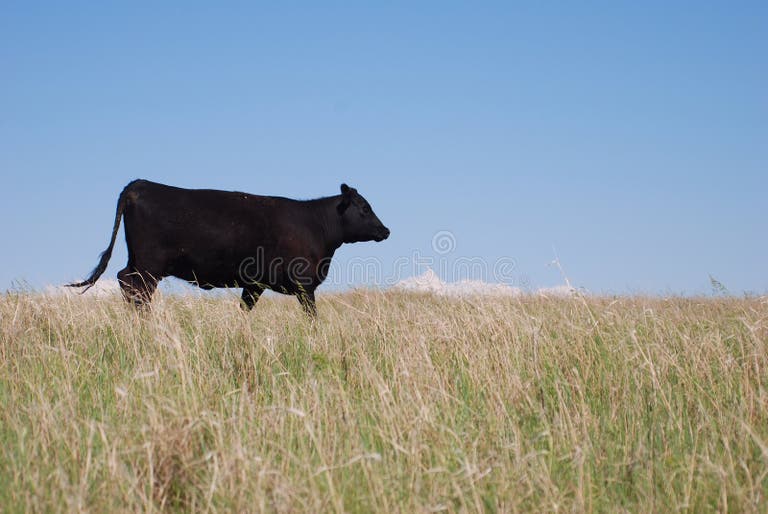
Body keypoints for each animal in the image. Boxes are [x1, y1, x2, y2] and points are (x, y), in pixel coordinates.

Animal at [67, 180, 390, 316]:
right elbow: (312, 317)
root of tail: (138, 185)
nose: (385, 230)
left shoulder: (255, 284)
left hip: (138, 260)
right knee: (136, 290)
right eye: (364, 207)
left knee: (124, 280)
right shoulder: (304, 284)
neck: (316, 225)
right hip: (149, 265)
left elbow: (244, 310)